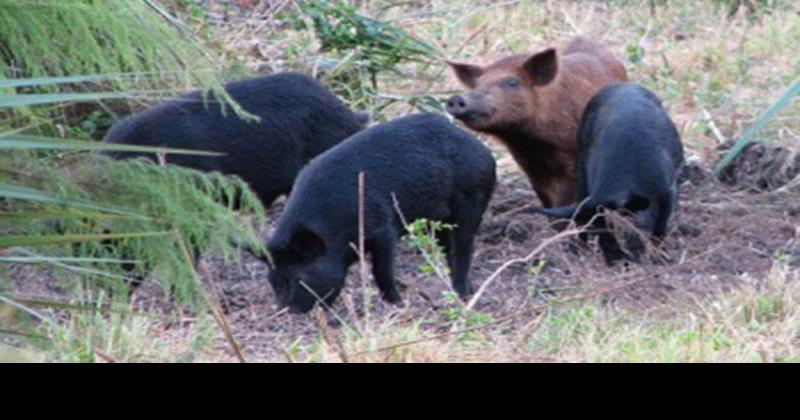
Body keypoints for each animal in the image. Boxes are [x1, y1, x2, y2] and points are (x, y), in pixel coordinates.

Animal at [267, 113, 497, 313]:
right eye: (272, 279)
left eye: (299, 278)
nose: (287, 311)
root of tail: (486, 154)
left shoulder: (383, 228)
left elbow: (382, 269)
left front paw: (397, 302)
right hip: (440, 219)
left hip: (472, 200)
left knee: (463, 247)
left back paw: (462, 293)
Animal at [446, 37, 627, 208]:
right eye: (477, 84)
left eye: (512, 82)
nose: (456, 99)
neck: (532, 142)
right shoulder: (530, 167)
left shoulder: (571, 161)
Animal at [533, 83, 685, 264]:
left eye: (635, 223)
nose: (618, 260)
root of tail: (622, 85)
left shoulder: (667, 190)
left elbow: (661, 225)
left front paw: (659, 258)